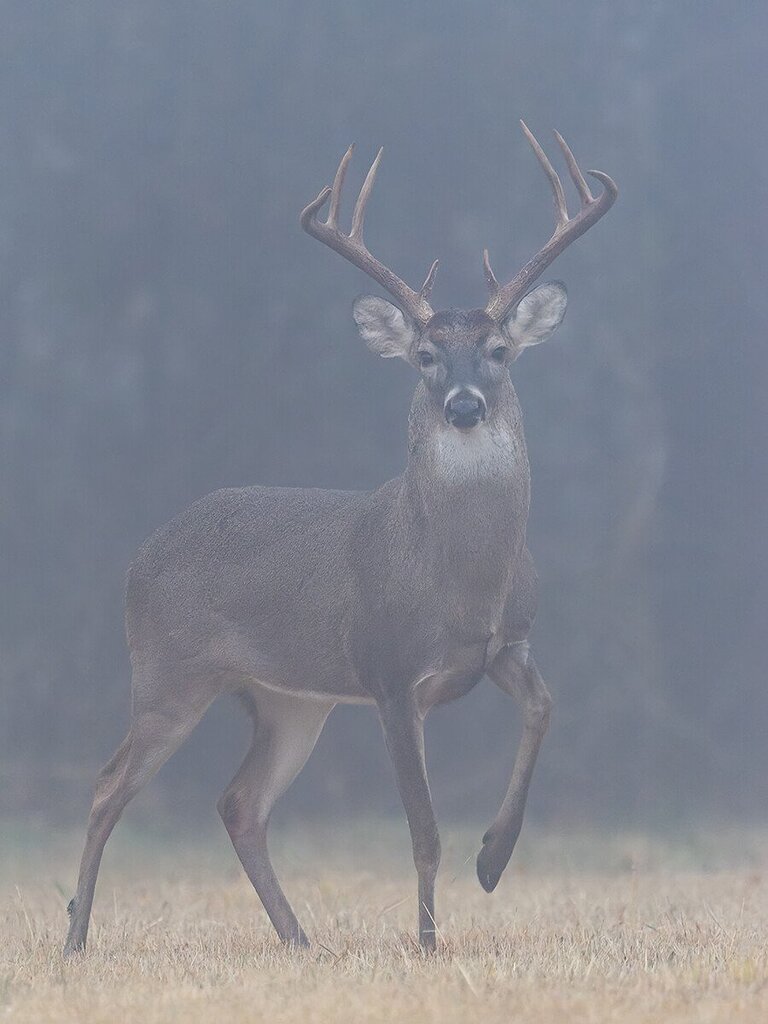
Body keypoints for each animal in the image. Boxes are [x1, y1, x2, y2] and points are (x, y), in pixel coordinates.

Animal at [63, 121, 617, 957]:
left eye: (499, 351)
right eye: (425, 356)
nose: (463, 405)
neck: (463, 581)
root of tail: (140, 555)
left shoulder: (508, 645)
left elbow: (546, 709)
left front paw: (494, 859)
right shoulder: (390, 672)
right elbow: (422, 829)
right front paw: (428, 941)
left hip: (289, 700)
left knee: (239, 802)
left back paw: (298, 938)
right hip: (166, 670)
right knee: (107, 786)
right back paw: (75, 936)